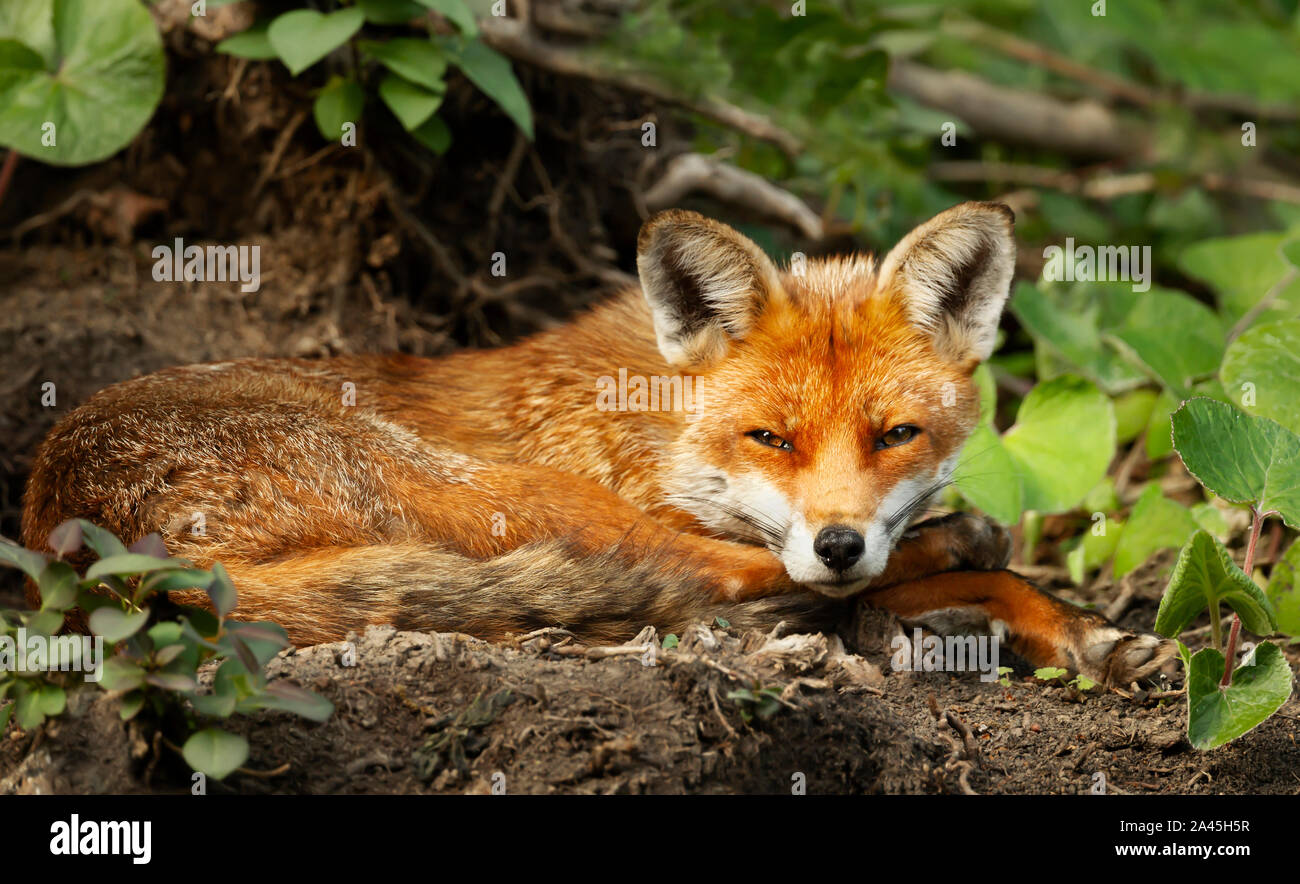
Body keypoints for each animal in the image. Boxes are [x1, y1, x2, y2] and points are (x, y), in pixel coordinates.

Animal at [22, 201, 1173, 686]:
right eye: (769, 436)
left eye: (895, 434)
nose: (840, 540)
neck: (655, 432)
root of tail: (70, 534)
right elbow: (795, 562)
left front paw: (1087, 637)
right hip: (496, 491)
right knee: (700, 576)